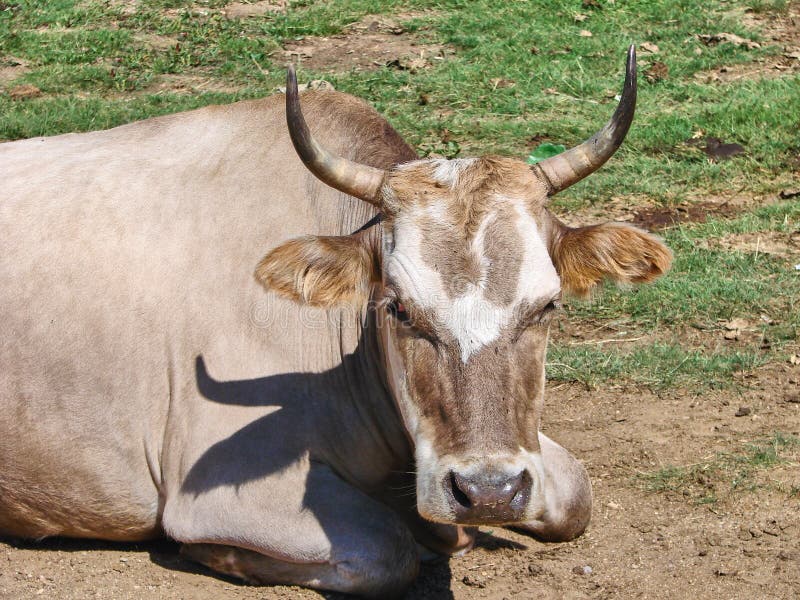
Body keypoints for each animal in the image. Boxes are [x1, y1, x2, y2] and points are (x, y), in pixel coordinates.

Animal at [0, 45, 670, 597]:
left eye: (548, 304)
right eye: (396, 306)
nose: (487, 493)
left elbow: (576, 494)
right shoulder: (225, 492)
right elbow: (387, 550)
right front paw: (222, 557)